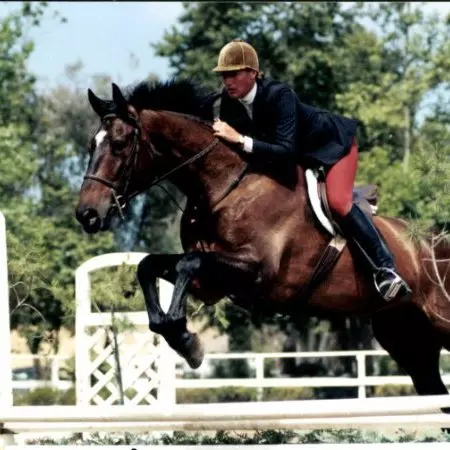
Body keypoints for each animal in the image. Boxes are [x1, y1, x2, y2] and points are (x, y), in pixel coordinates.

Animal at [76, 80, 450, 404]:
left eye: (120, 145)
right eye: (91, 145)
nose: (87, 214)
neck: (223, 185)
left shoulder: (258, 270)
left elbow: (187, 262)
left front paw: (185, 339)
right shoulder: (213, 283)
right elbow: (151, 265)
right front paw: (180, 337)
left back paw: (389, 278)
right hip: (408, 339)